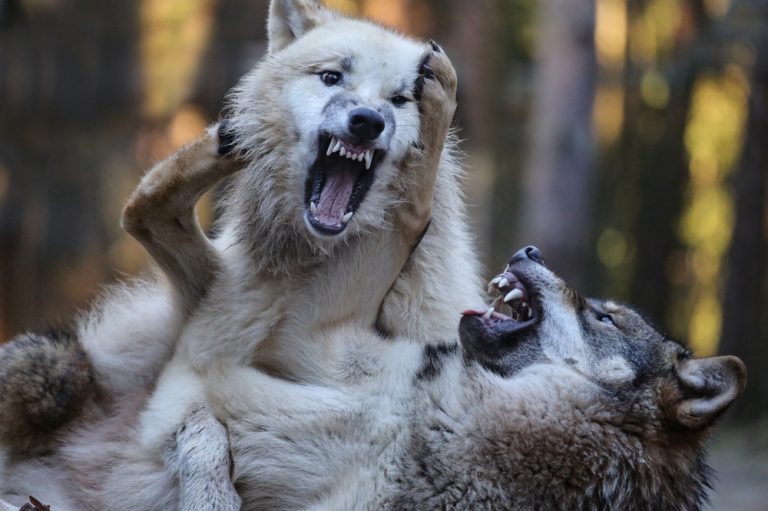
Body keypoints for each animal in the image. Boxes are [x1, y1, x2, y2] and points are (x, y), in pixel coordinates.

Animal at [0, 1, 480, 509]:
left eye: (400, 99)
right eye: (332, 77)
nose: (368, 120)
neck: (314, 266)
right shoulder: (191, 374)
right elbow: (202, 432)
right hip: (66, 367)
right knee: (145, 218)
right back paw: (221, 147)